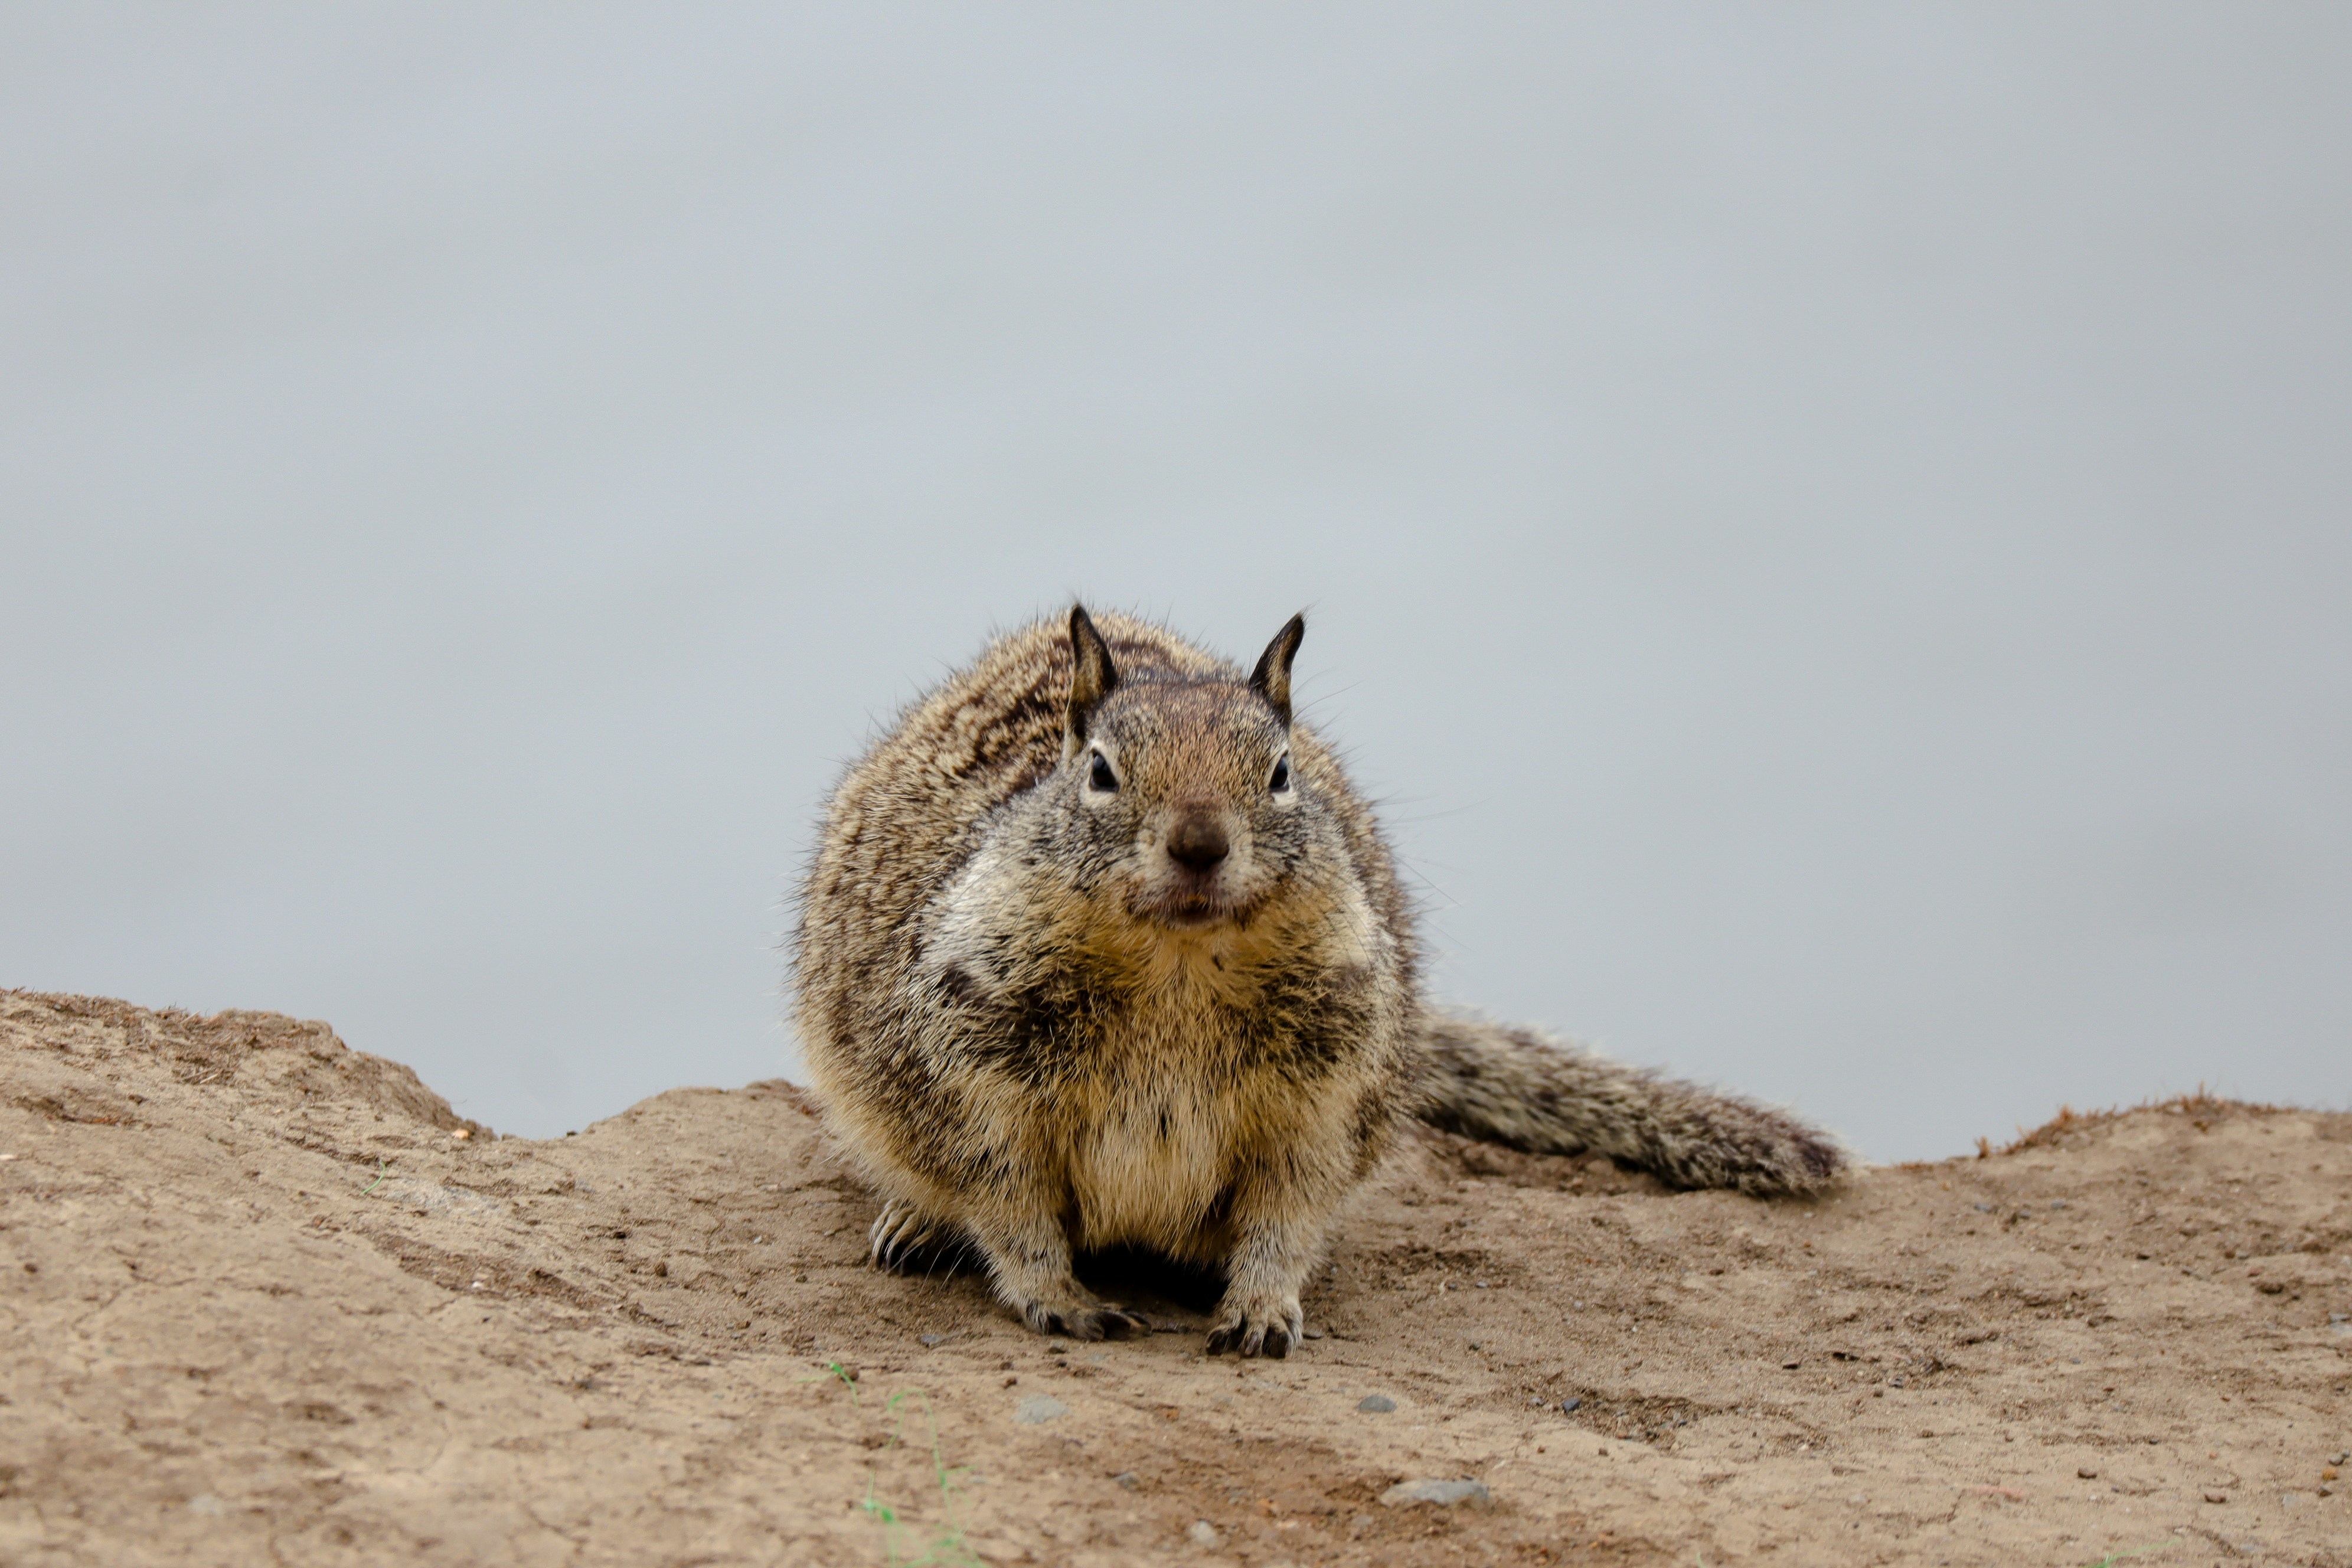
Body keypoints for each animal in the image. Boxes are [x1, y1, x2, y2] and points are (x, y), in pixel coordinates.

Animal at [793, 607, 1844, 1358]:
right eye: (1099, 771)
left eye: (1280, 772)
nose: (1200, 843)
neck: (1176, 969)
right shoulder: (978, 1075)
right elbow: (1011, 1208)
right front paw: (1059, 1299)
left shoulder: (1320, 1098)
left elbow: (1288, 1214)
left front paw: (1262, 1308)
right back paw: (915, 1224)